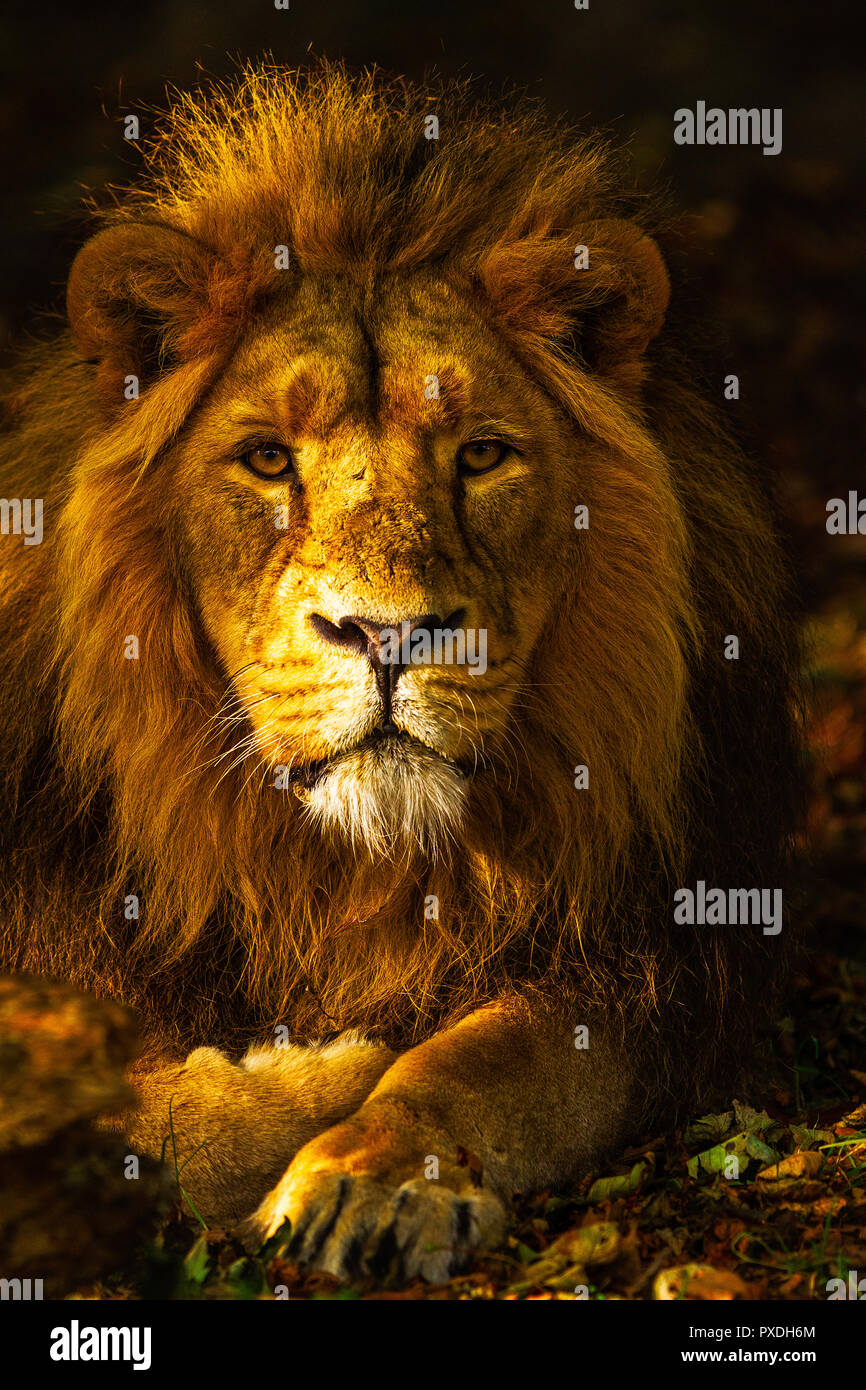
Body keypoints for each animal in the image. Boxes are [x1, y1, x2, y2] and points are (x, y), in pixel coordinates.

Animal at [0, 63, 802, 1283]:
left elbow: (487, 1062)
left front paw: (375, 1171)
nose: (388, 637)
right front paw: (325, 1069)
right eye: (267, 460)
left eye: (480, 454)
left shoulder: (634, 956)